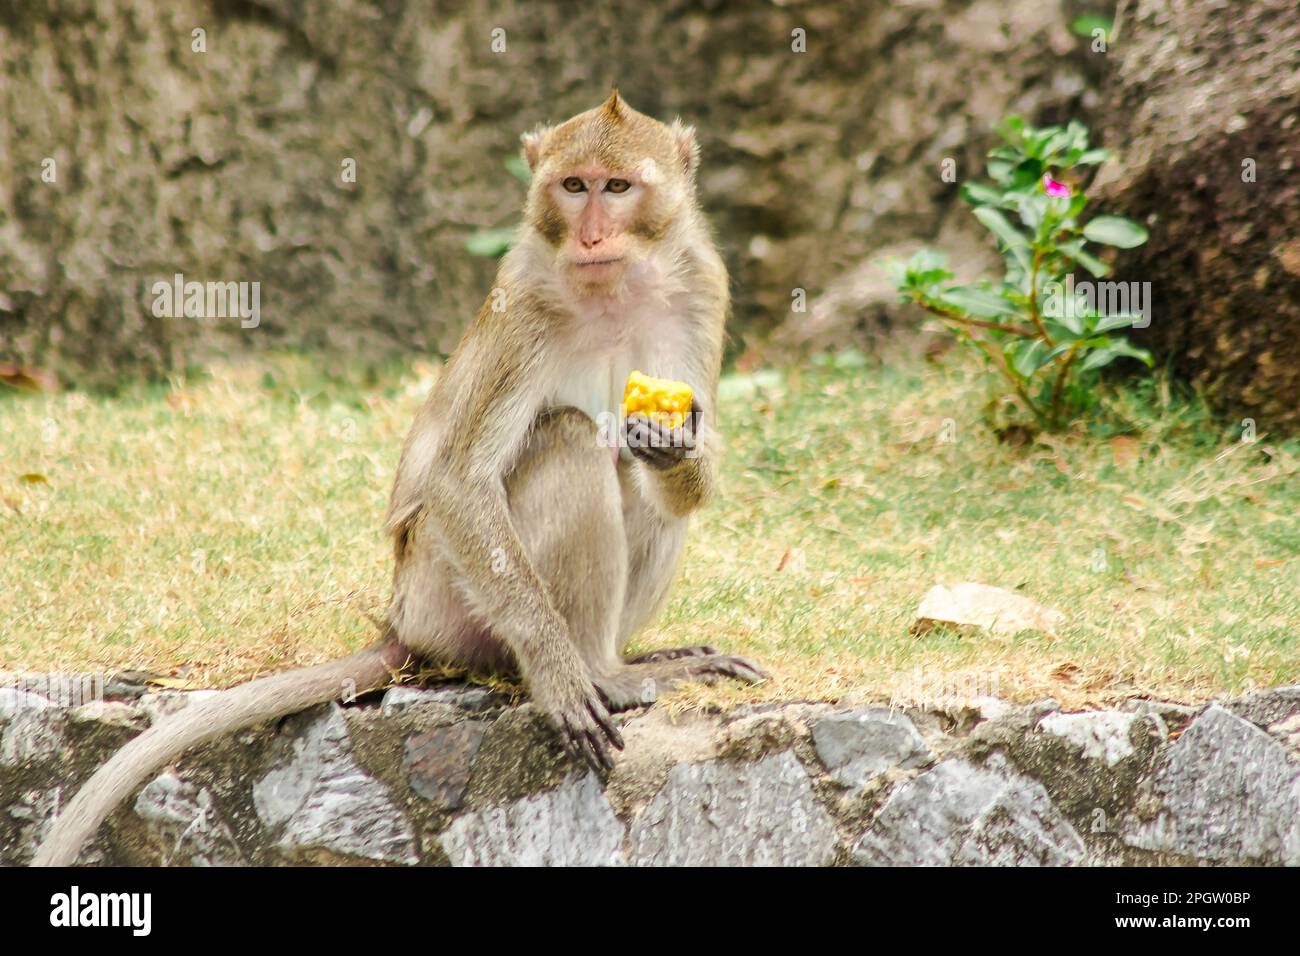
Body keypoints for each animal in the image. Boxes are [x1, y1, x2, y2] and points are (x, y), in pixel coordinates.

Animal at [33, 90, 764, 867]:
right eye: (574, 186)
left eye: (618, 187)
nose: (592, 236)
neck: (612, 289)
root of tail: (400, 618)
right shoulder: (523, 307)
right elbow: (459, 480)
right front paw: (560, 673)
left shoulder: (700, 286)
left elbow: (685, 468)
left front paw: (675, 446)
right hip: (446, 590)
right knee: (569, 439)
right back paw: (599, 671)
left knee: (632, 477)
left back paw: (635, 656)